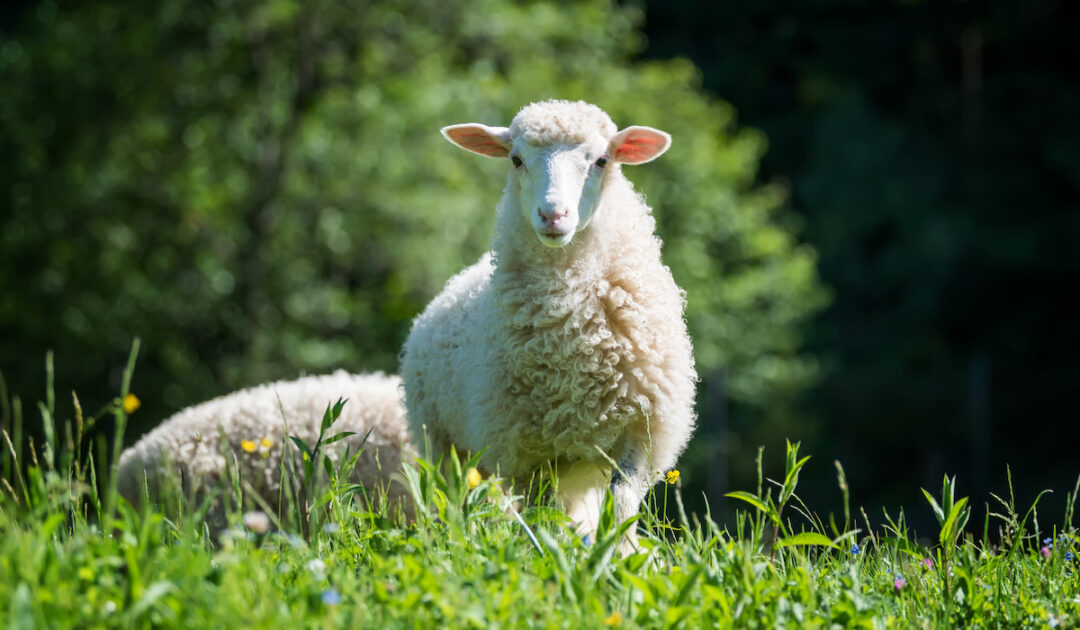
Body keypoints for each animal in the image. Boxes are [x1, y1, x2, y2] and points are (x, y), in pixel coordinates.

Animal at [400, 100, 697, 549]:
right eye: (516, 159)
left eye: (602, 160)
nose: (553, 214)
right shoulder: (527, 451)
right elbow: (541, 521)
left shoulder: (641, 434)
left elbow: (621, 505)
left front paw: (620, 555)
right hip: (443, 447)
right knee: (454, 504)